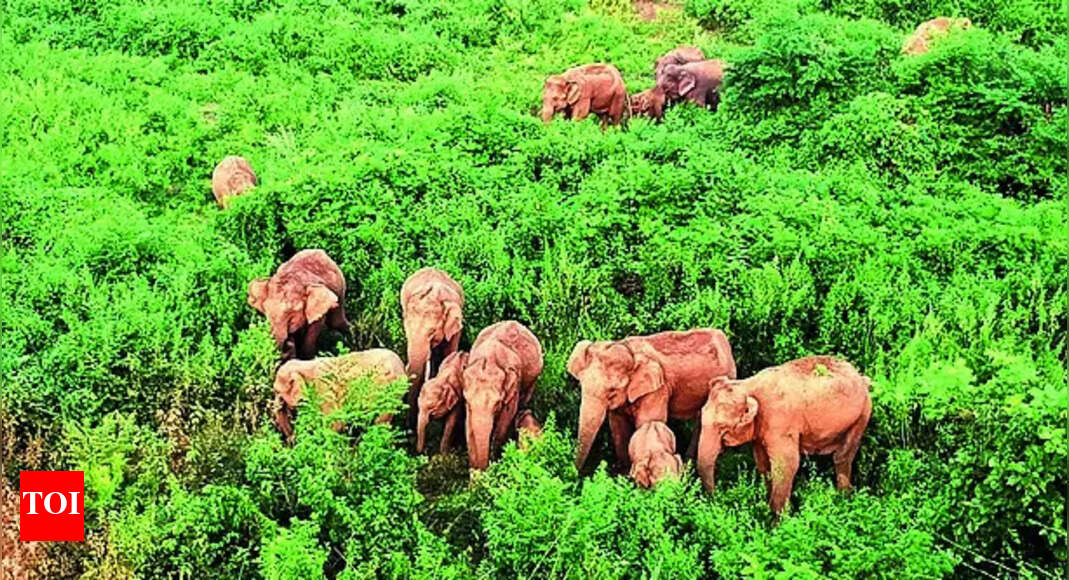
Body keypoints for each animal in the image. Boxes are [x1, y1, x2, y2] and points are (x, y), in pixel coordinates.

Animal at [462, 321, 543, 469]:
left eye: (497, 404)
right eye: (468, 402)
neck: (489, 360)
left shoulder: (514, 386)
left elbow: (504, 422)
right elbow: (468, 426)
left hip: (533, 380)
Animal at [567, 328, 736, 471]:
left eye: (612, 391)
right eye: (581, 384)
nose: (576, 475)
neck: (630, 351)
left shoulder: (659, 389)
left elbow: (647, 422)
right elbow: (618, 427)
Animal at [697, 356, 872, 515]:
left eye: (721, 427)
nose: (718, 499)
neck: (749, 385)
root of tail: (861, 377)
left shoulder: (780, 423)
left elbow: (786, 464)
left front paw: (777, 523)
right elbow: (763, 462)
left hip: (863, 413)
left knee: (842, 457)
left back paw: (843, 501)